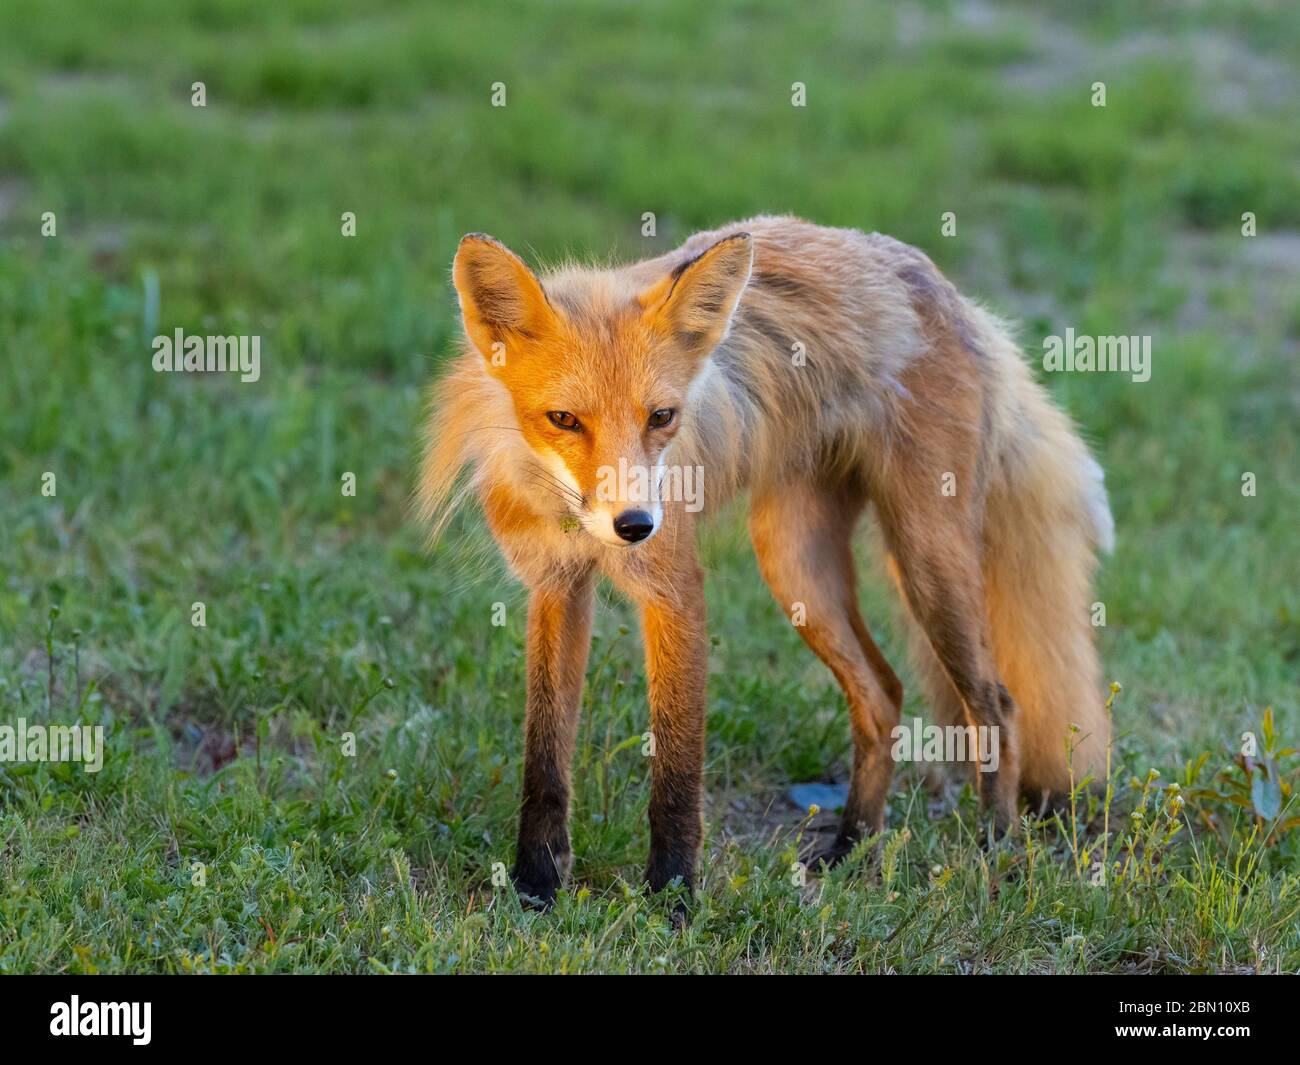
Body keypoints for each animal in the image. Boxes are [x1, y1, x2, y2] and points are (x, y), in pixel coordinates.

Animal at [419, 215, 1113, 906]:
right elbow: (544, 756)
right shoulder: (556, 586)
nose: (635, 525)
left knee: (996, 702)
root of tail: (943, 288)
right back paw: (852, 847)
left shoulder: (674, 589)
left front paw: (673, 897)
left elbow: (676, 770)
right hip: (797, 567)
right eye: (562, 419)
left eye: (662, 417)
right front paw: (536, 883)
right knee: (883, 693)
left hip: (926, 561)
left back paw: (996, 849)